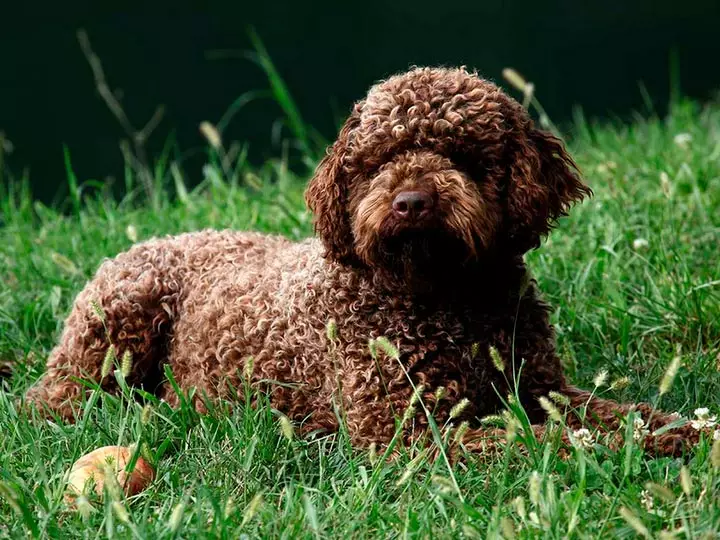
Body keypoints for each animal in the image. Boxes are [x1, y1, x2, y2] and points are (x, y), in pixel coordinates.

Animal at [25, 66, 704, 456]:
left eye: (461, 154)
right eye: (379, 159)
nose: (411, 202)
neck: (446, 299)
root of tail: (152, 241)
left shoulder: (541, 386)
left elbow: (623, 414)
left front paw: (683, 431)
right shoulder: (400, 430)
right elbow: (533, 441)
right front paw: (597, 449)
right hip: (118, 323)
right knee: (50, 399)